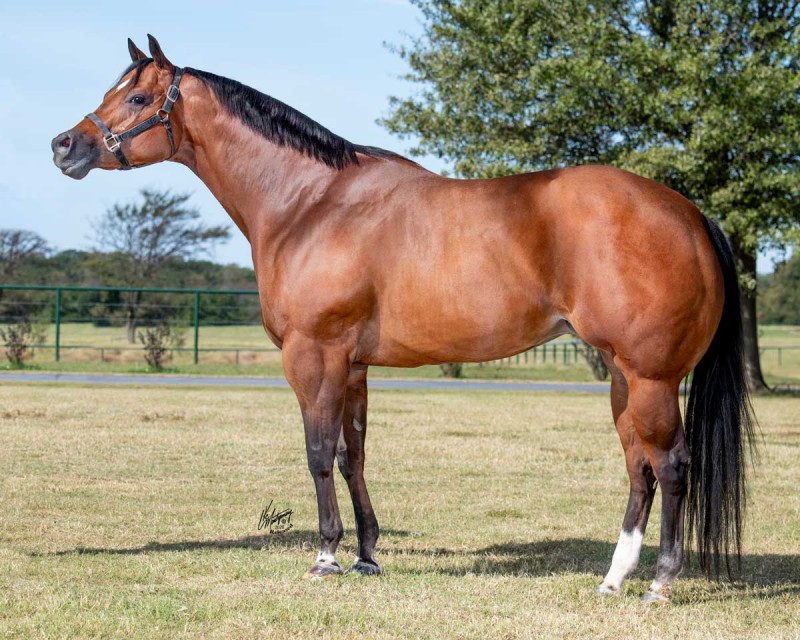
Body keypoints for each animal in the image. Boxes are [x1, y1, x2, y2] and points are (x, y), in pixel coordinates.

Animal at [52, 35, 754, 603]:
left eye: (139, 96)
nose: (65, 145)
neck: (311, 204)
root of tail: (689, 213)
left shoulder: (313, 356)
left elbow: (317, 453)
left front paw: (326, 556)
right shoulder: (353, 366)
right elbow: (352, 455)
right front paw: (367, 555)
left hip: (652, 377)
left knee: (671, 466)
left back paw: (660, 584)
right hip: (622, 377)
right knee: (640, 470)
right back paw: (613, 579)